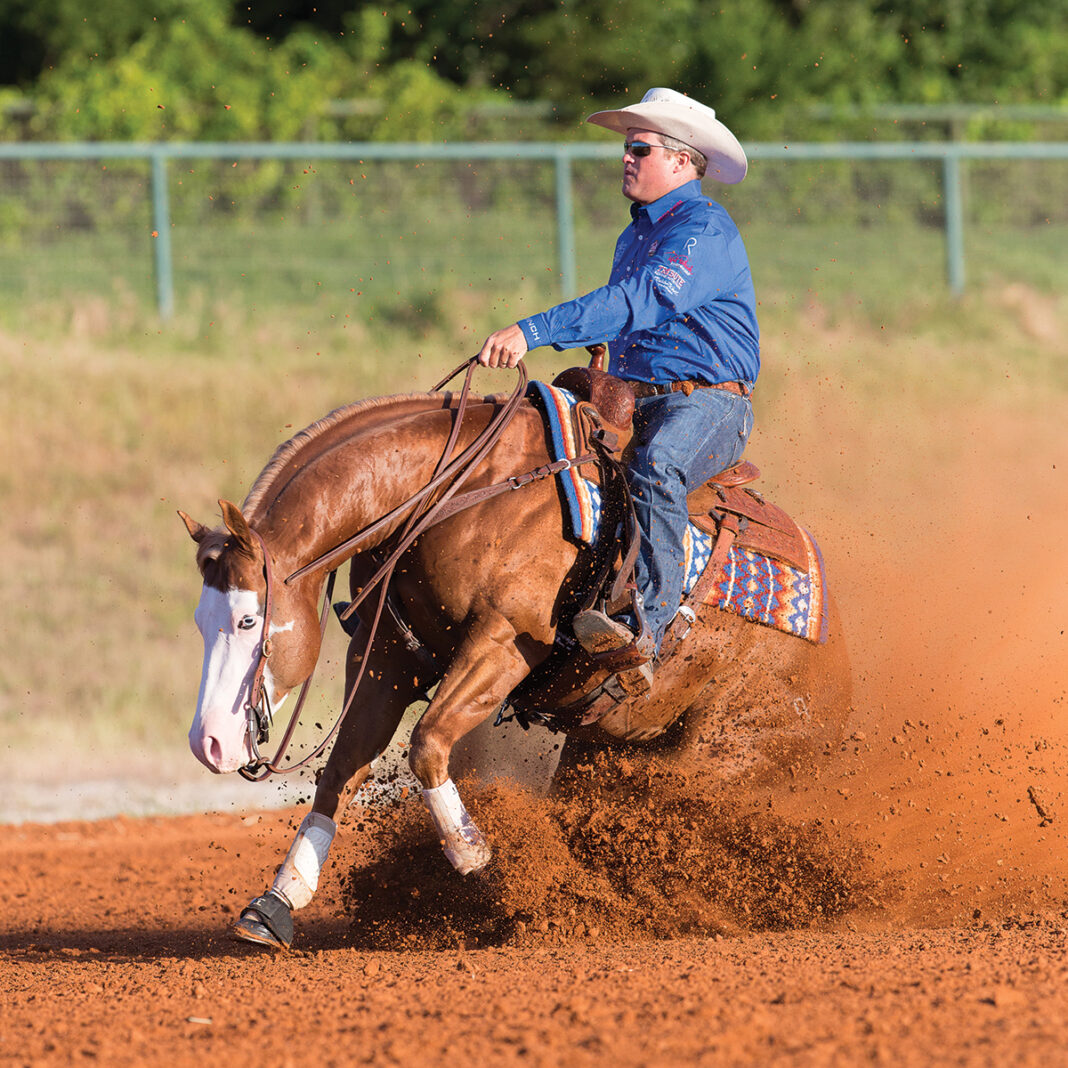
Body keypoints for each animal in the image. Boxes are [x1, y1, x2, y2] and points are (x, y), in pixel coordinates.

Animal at [179, 366, 851, 950]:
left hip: (728, 746)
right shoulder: (388, 657)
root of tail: (832, 633)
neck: (456, 495)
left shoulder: (503, 642)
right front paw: (275, 904)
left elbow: (428, 742)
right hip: (603, 743)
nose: (209, 744)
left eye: (248, 619)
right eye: (201, 622)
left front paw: (474, 855)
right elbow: (344, 766)